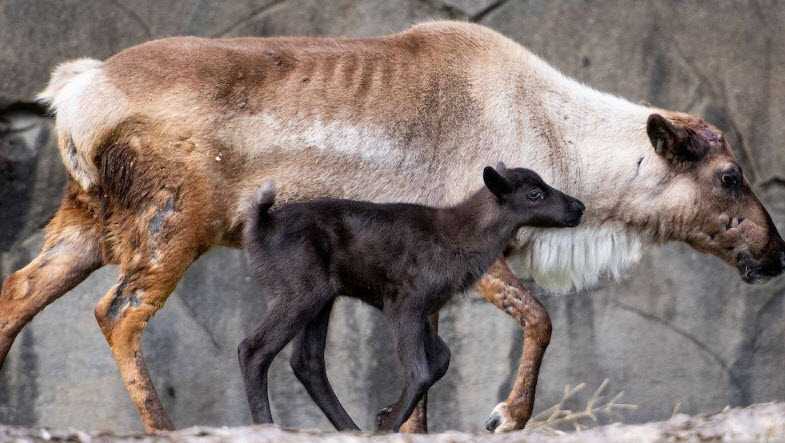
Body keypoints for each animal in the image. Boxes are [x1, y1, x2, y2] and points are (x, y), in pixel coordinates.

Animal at [1, 21, 783, 433]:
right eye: (728, 176)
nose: (774, 253)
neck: (556, 136)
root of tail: (75, 91)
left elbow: (430, 371)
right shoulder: (476, 250)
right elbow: (537, 318)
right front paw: (506, 414)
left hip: (85, 221)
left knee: (18, 291)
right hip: (171, 223)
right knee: (119, 313)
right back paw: (166, 426)